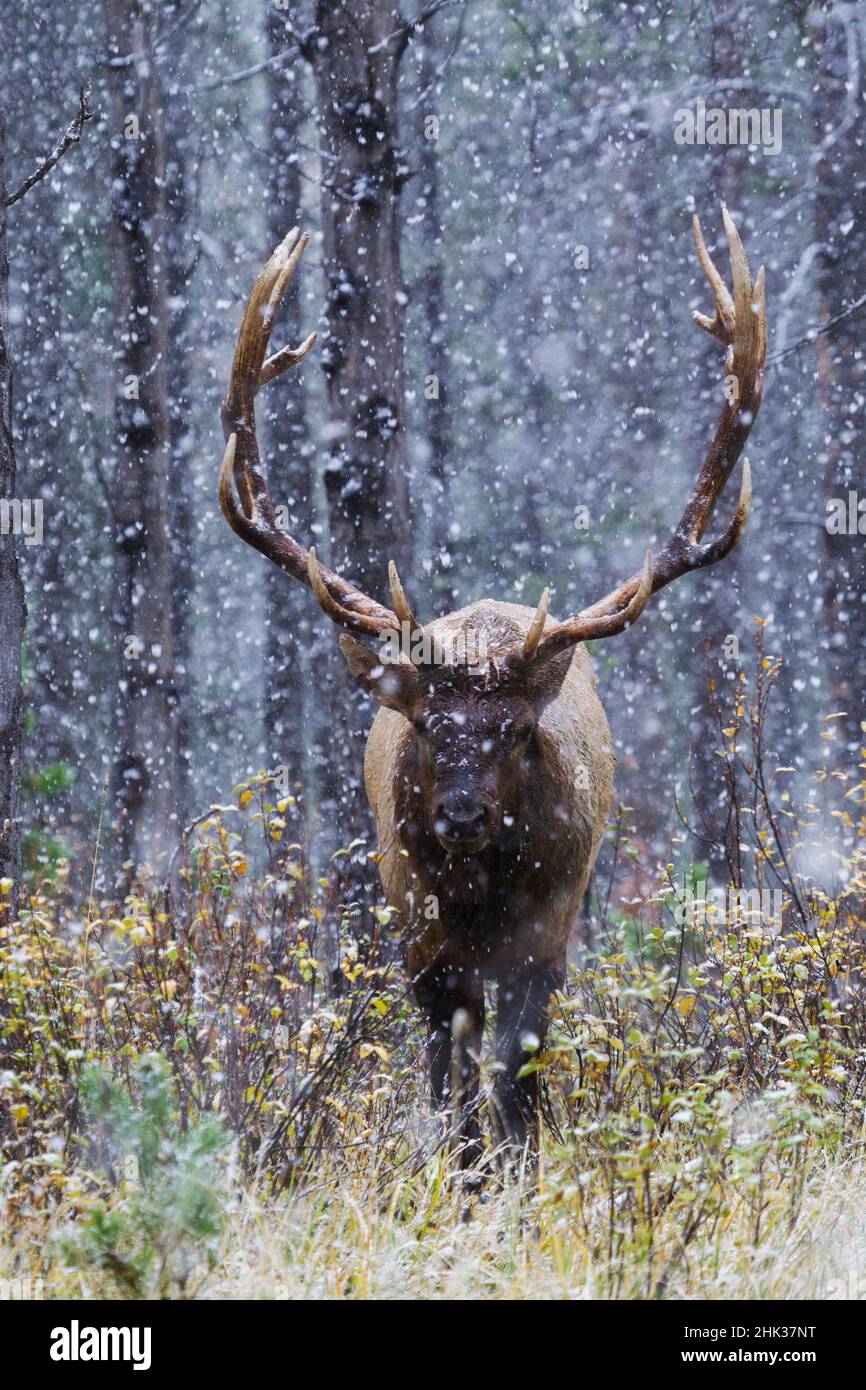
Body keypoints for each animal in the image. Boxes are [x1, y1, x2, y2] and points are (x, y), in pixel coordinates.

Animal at [219, 211, 767, 1163]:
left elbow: (516, 1075)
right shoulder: (419, 937)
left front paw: (519, 1169)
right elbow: (447, 1079)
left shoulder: (547, 935)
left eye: (515, 730)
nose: (464, 814)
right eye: (427, 726)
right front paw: (458, 1169)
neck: (478, 896)